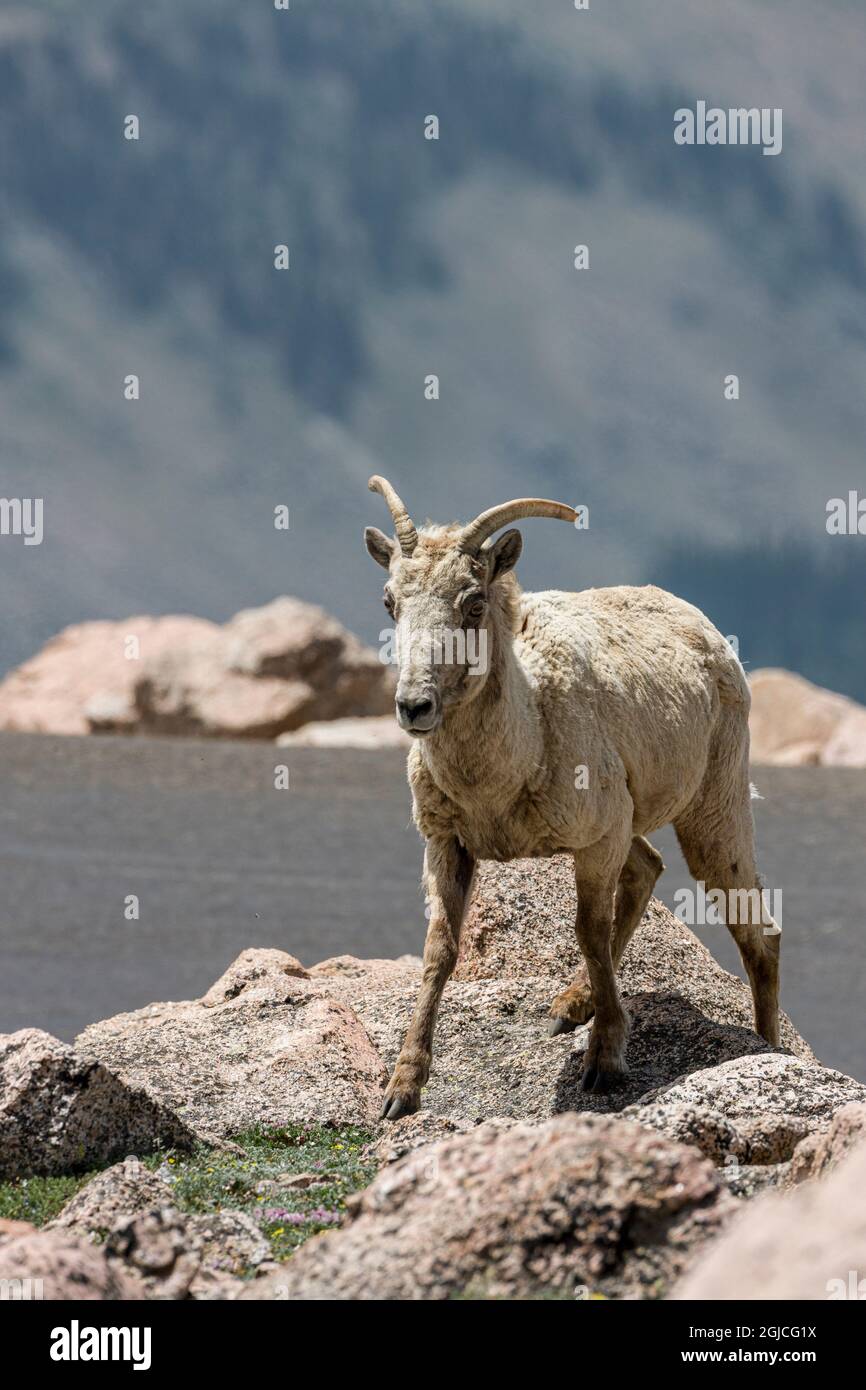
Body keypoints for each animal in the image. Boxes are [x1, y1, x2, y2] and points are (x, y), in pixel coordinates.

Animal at [364, 475, 781, 1119]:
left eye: (473, 602)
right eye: (390, 602)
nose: (415, 706)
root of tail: (703, 623)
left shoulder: (596, 839)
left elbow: (588, 929)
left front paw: (605, 1062)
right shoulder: (447, 843)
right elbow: (440, 950)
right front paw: (402, 1089)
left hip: (713, 807)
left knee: (755, 929)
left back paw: (765, 1050)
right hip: (634, 821)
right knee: (648, 870)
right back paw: (571, 1006)